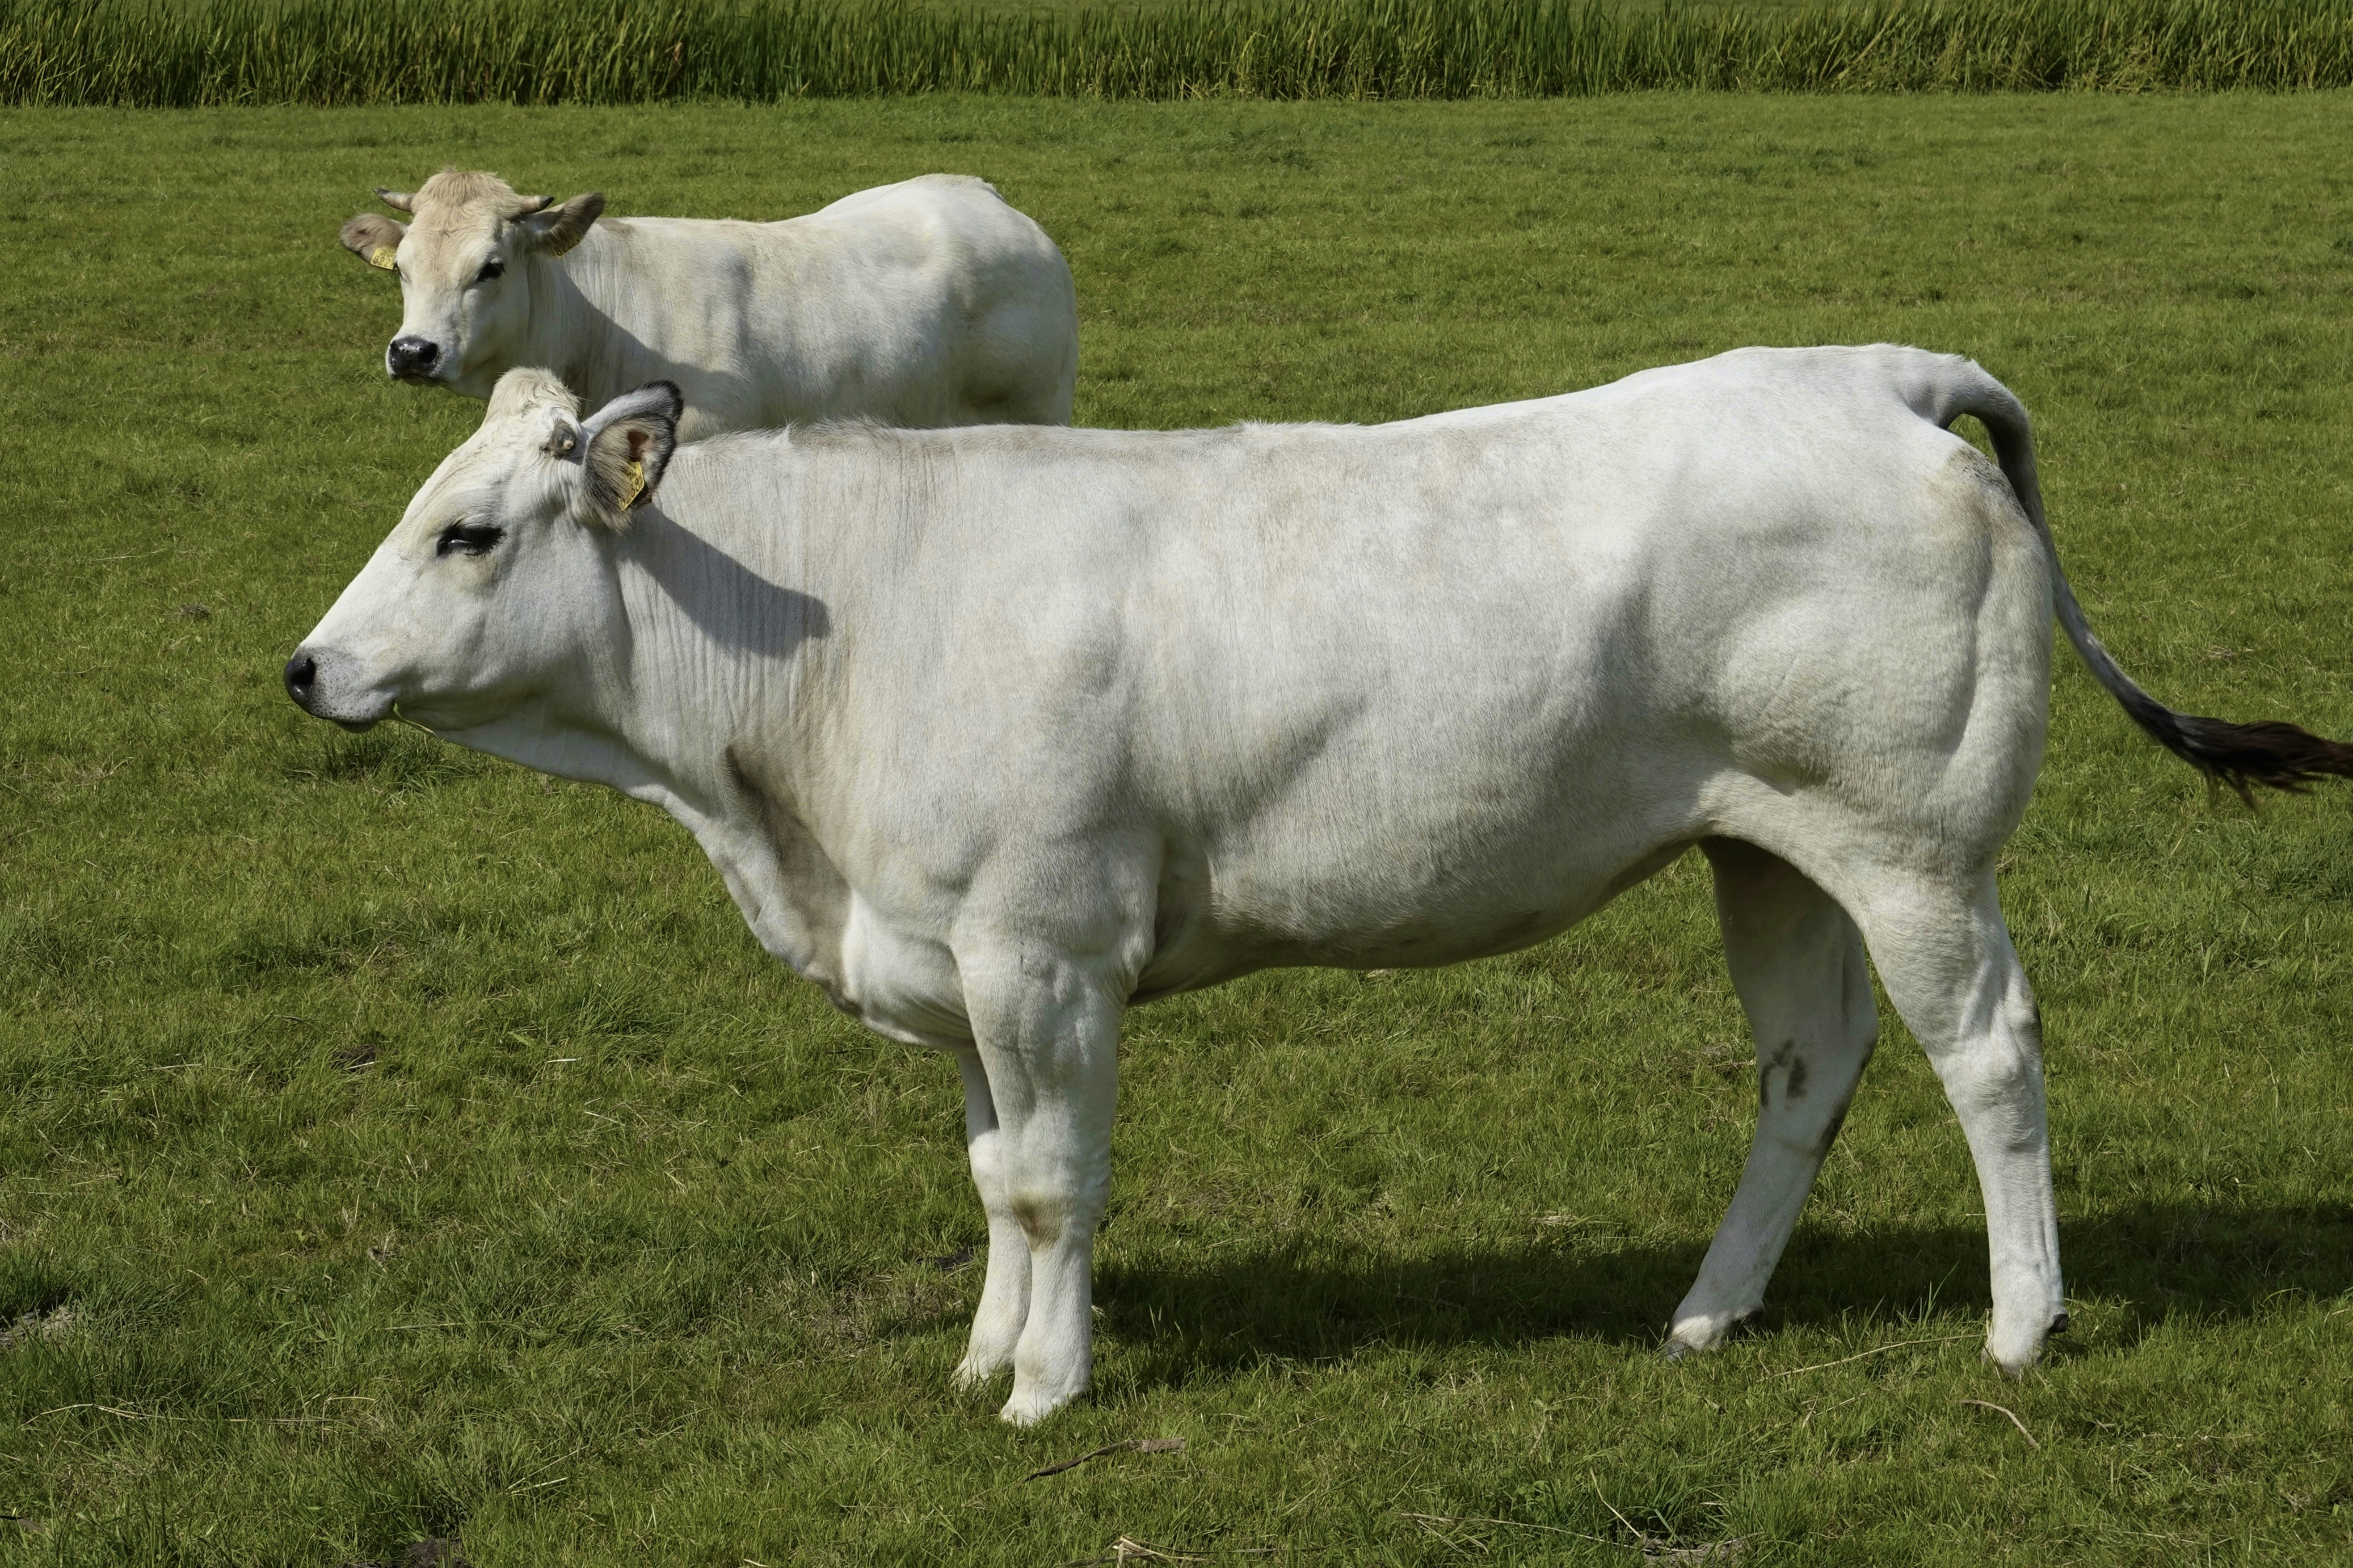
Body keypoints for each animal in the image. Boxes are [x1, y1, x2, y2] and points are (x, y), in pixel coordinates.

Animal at [283, 349, 2353, 1425]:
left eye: (468, 532)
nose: (306, 667)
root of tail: (1878, 377)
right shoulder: (952, 956)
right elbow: (994, 1179)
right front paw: (980, 1353)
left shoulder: (1042, 949)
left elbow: (1055, 1182)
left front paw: (1043, 1389)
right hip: (1765, 850)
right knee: (1804, 1069)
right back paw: (1706, 1312)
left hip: (1917, 845)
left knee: (1986, 1057)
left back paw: (2020, 1326)